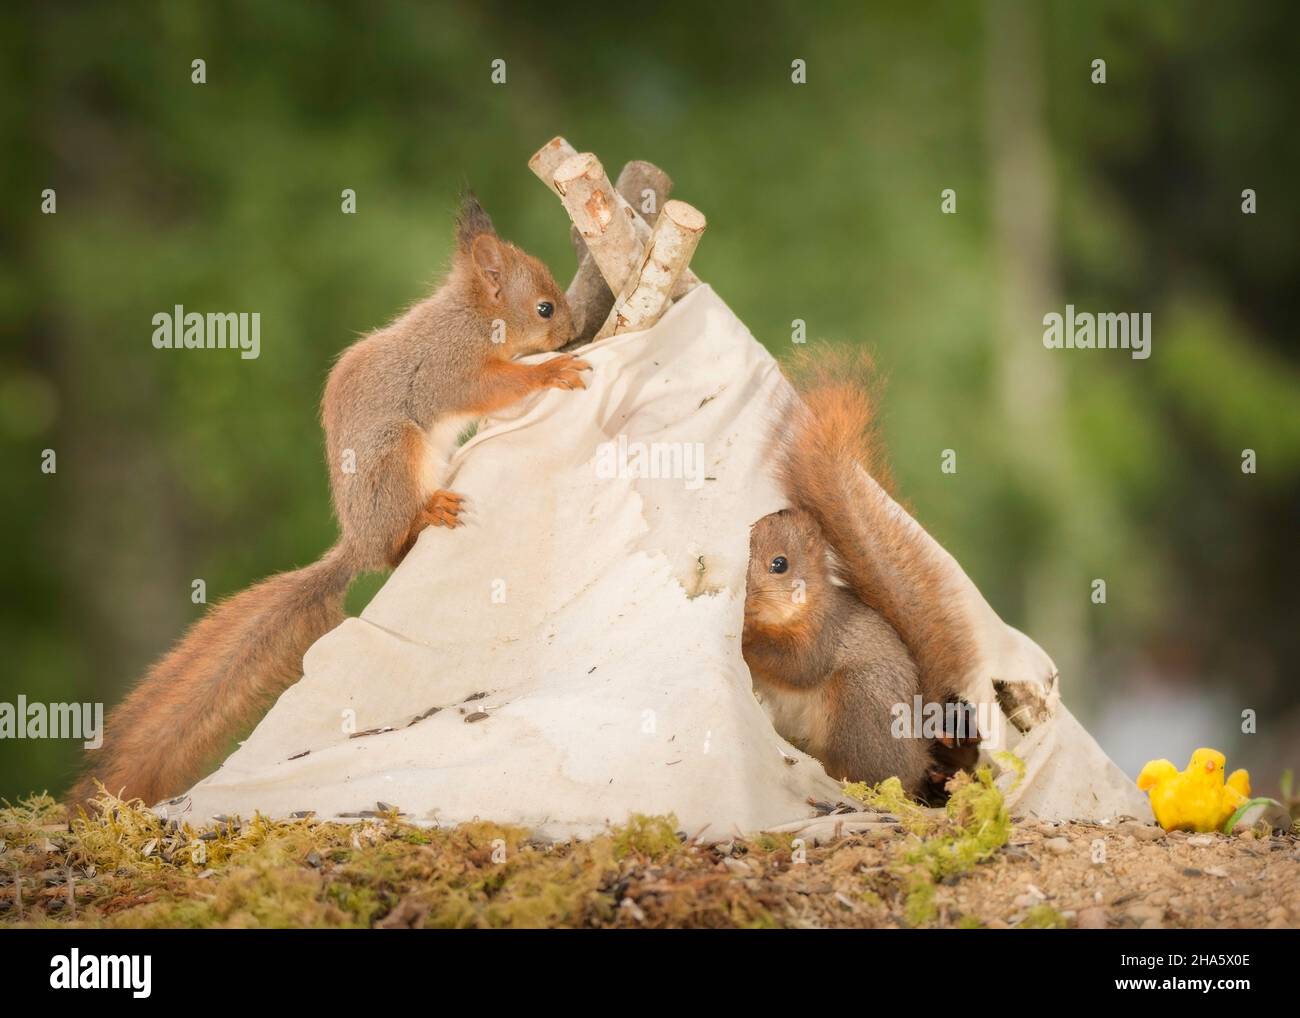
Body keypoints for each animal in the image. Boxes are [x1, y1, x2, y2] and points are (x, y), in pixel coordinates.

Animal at [70, 194, 586, 808]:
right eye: (545, 308)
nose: (576, 330)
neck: (474, 318)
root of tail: (357, 542)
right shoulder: (447, 371)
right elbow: (491, 387)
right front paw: (553, 370)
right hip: (395, 456)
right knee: (395, 546)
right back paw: (424, 516)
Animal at [742, 359, 979, 800]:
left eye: (780, 564)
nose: (744, 598)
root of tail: (918, 759)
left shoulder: (823, 635)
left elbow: (798, 666)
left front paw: (746, 641)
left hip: (857, 701)